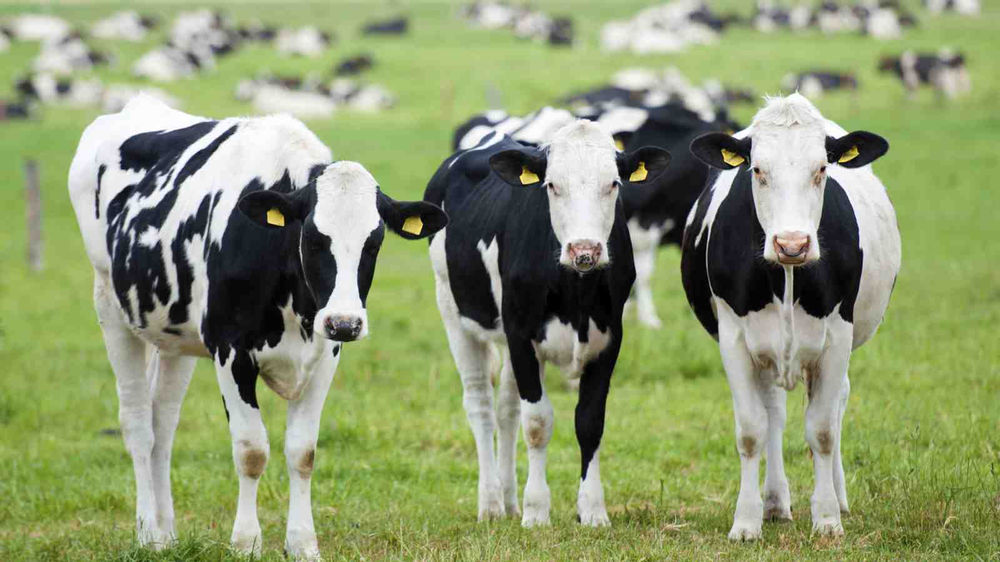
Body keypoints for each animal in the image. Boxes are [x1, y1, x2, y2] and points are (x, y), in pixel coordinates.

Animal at [67, 95, 446, 559]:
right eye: (314, 239)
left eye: (373, 243)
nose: (345, 322)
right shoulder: (231, 351)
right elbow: (251, 450)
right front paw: (246, 542)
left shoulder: (325, 355)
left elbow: (302, 452)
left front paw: (303, 543)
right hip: (111, 307)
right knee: (139, 426)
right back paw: (148, 534)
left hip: (175, 337)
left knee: (163, 425)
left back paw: (168, 531)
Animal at [424, 121, 670, 526]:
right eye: (553, 185)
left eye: (613, 184)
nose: (584, 250)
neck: (576, 295)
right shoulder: (522, 335)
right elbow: (538, 423)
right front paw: (537, 511)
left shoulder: (609, 341)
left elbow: (590, 422)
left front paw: (593, 509)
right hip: (452, 311)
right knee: (481, 405)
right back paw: (491, 503)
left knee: (507, 409)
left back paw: (509, 501)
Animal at [681, 93, 900, 540]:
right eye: (758, 170)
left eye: (822, 169)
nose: (793, 243)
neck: (786, 276)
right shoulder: (734, 339)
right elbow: (752, 431)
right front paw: (746, 521)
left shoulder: (837, 336)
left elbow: (822, 430)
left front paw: (828, 518)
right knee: (774, 415)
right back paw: (775, 502)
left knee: (837, 404)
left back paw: (838, 496)